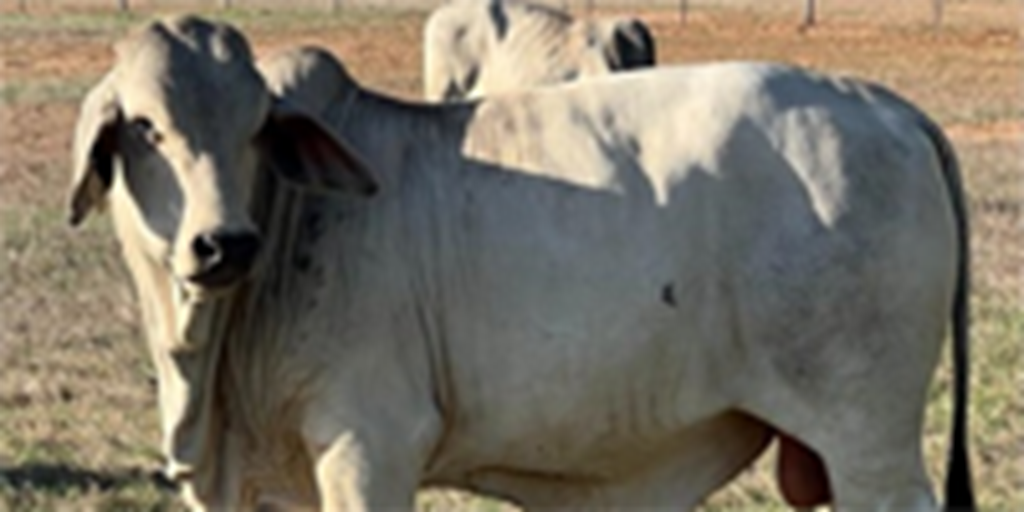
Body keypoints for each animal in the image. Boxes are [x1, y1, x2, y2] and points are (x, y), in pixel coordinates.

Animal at [69, 15, 974, 512]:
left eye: (258, 124)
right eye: (143, 126)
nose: (226, 243)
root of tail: (890, 109)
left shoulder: (371, 444)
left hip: (868, 440)